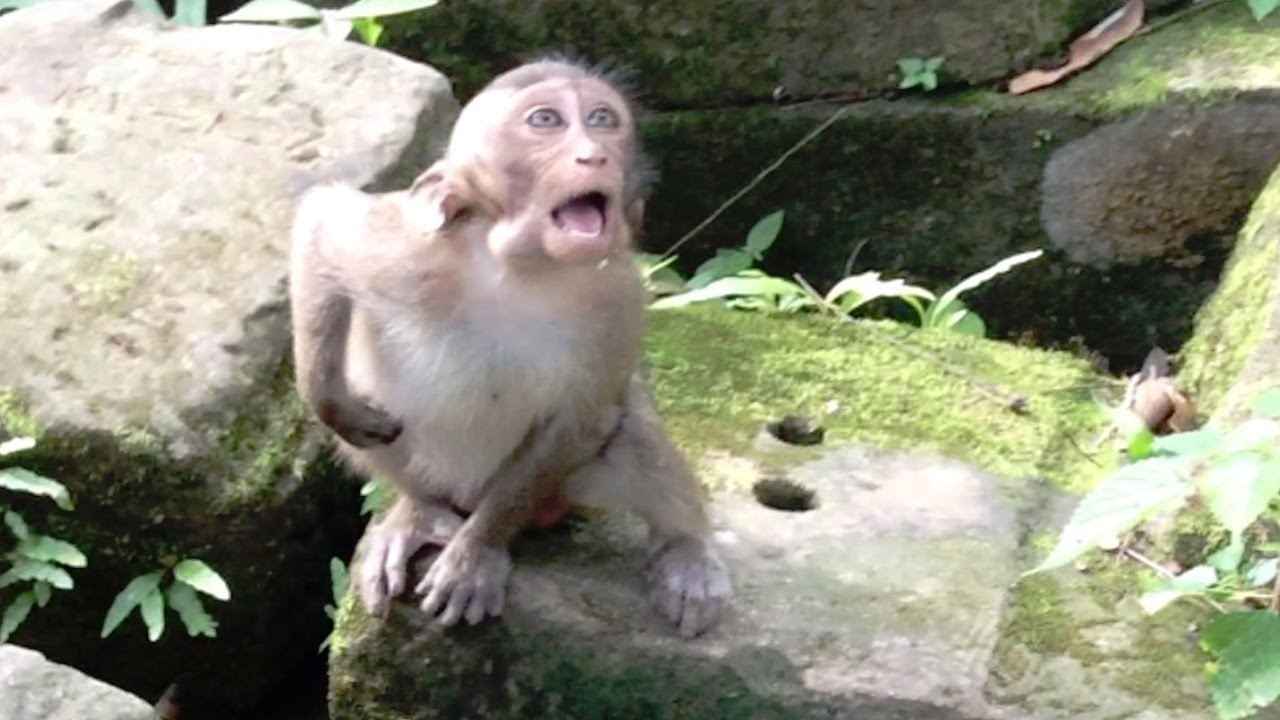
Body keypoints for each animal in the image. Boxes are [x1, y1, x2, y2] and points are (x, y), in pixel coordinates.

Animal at [288, 58, 732, 637]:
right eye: (546, 120)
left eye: (602, 119)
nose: (594, 153)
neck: (520, 267)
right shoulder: (407, 246)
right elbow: (323, 221)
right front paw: (327, 395)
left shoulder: (620, 296)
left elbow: (587, 416)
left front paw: (476, 552)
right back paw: (421, 510)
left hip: (565, 486)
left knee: (630, 426)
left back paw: (685, 551)